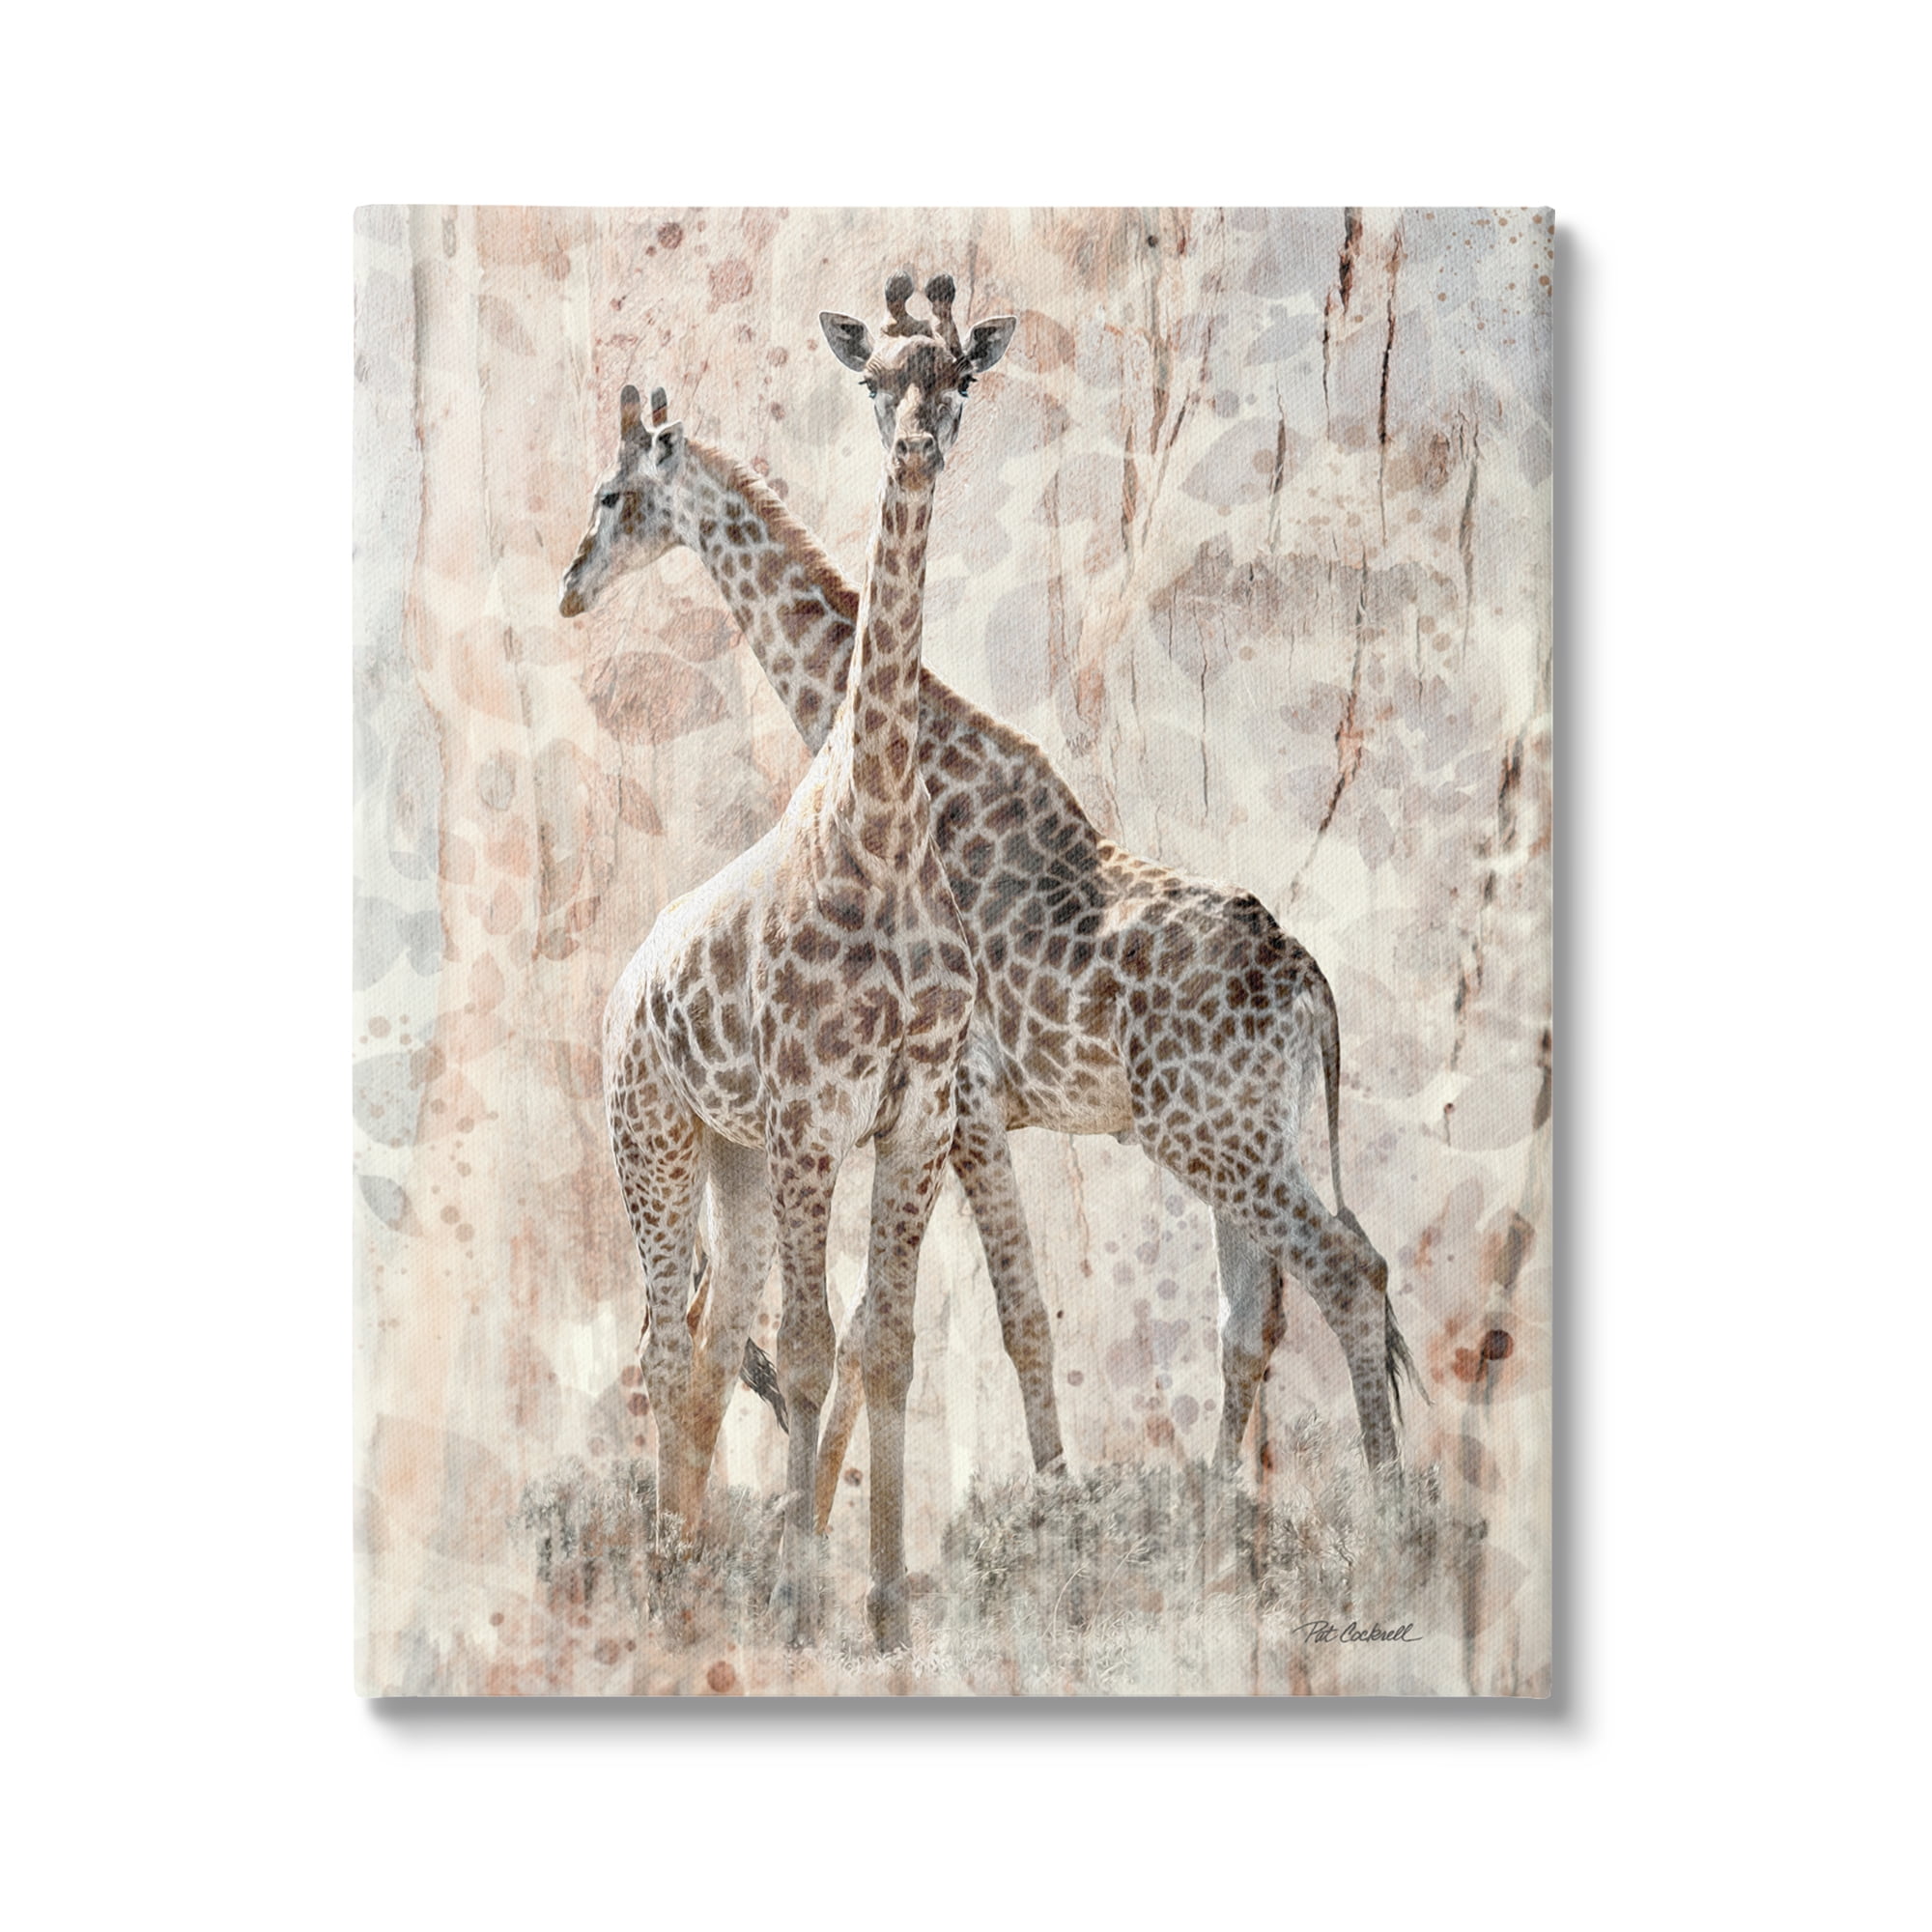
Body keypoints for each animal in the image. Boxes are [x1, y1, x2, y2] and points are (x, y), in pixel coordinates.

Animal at [562, 288, 1420, 1509]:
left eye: (608, 494)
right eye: (872, 381)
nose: (571, 586)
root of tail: (1313, 987)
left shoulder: (960, 1096)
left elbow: (987, 1319)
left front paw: (1025, 1503)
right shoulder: (946, 1107)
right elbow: (896, 1322)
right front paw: (828, 1509)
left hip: (1209, 1132)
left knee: (1345, 1273)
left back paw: (1388, 1515)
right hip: (1262, 1131)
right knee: (1254, 1315)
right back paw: (1227, 1514)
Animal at [596, 276, 1015, 1650]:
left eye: (959, 376)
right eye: (873, 378)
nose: (917, 443)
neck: (880, 821)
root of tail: (619, 991)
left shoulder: (914, 1110)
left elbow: (885, 1346)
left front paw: (879, 1602)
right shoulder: (809, 1113)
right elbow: (815, 1343)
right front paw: (794, 1596)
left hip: (726, 1158)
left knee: (703, 1342)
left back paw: (689, 1560)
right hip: (657, 1140)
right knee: (661, 1341)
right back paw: (669, 1576)